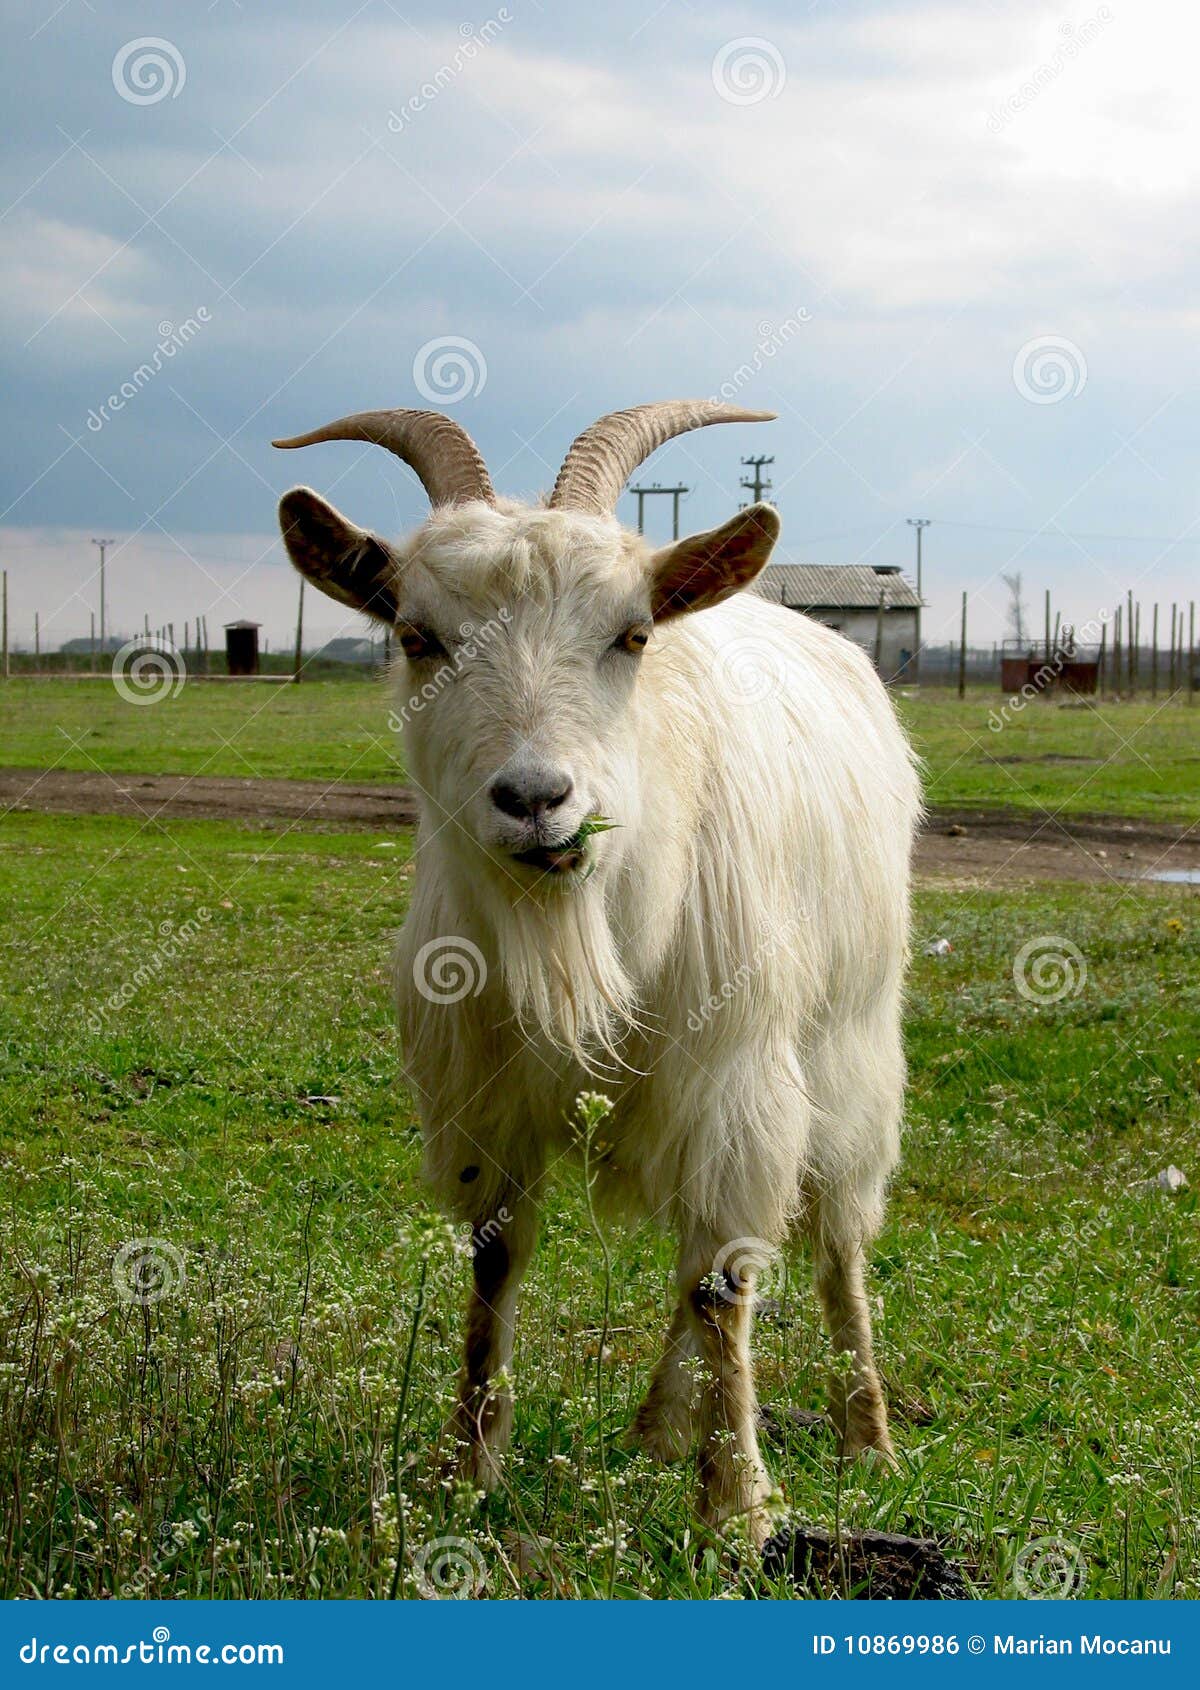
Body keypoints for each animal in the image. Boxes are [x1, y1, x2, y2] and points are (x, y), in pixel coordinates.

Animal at [275, 400, 921, 1546]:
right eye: (417, 636)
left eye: (631, 635)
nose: (537, 799)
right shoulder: (485, 1101)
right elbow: (497, 1269)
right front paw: (466, 1469)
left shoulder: (735, 1078)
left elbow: (725, 1285)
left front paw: (736, 1509)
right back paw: (658, 1428)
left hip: (848, 1048)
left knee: (829, 1241)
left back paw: (866, 1435)